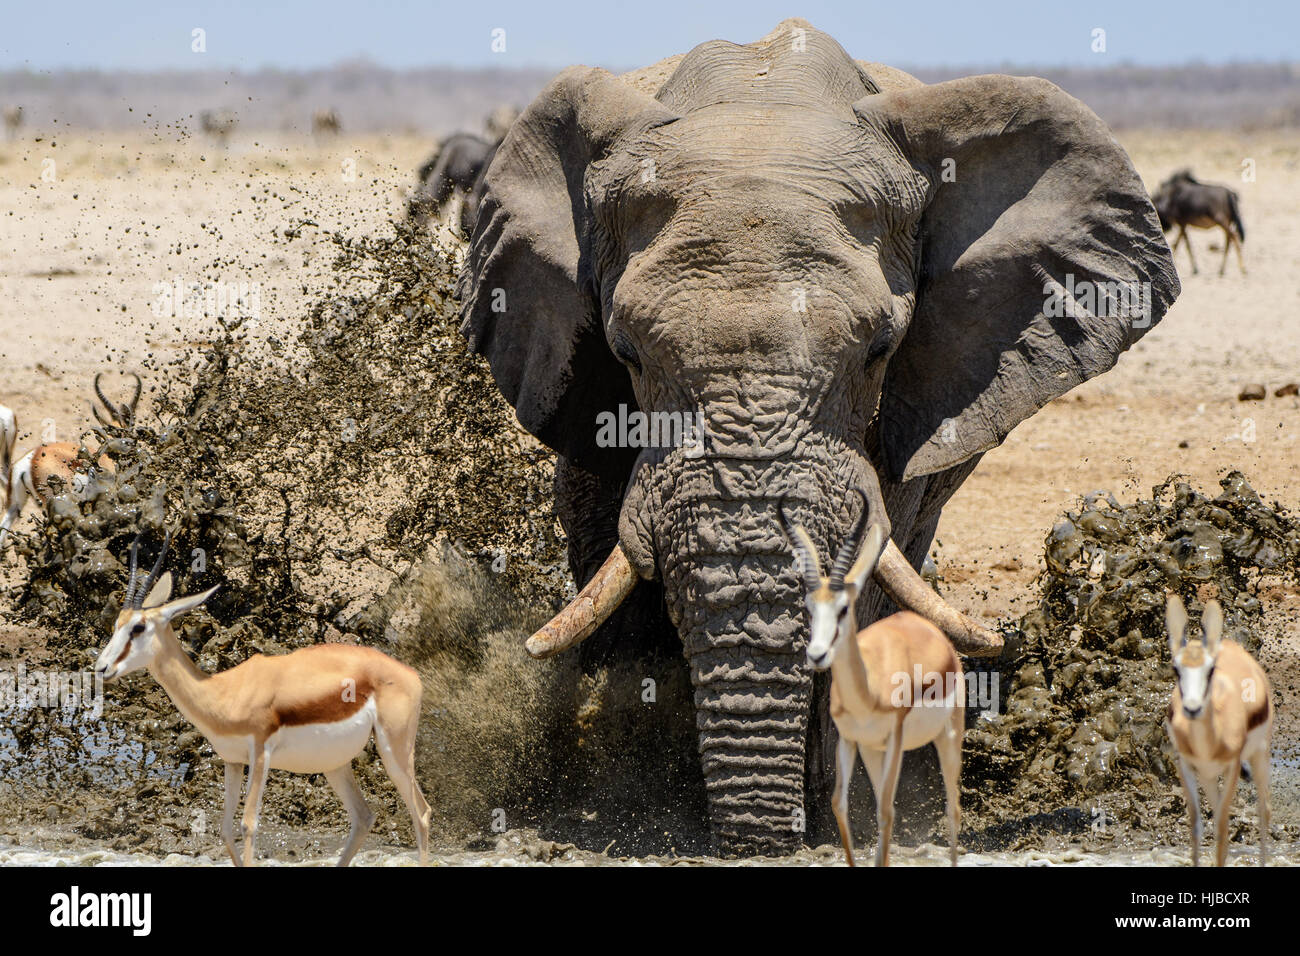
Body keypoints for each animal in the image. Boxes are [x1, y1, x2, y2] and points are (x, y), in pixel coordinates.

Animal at [456, 18, 1179, 856]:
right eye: (626, 353)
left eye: (878, 351)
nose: (761, 840)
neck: (765, 104)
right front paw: (637, 796)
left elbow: (865, 561)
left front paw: (829, 806)